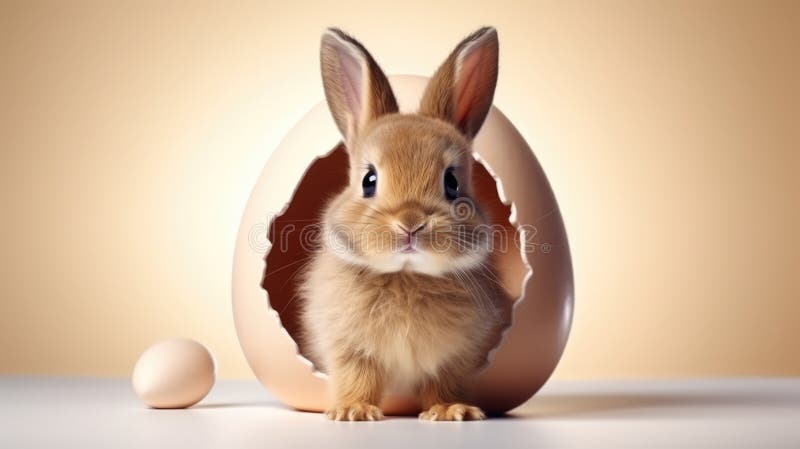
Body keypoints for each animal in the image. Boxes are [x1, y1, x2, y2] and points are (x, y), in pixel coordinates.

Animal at [299, 26, 512, 421]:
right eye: (368, 180)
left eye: (451, 182)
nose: (410, 223)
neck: (407, 274)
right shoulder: (349, 348)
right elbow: (358, 378)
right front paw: (353, 411)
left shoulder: (454, 357)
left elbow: (442, 384)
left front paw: (451, 411)